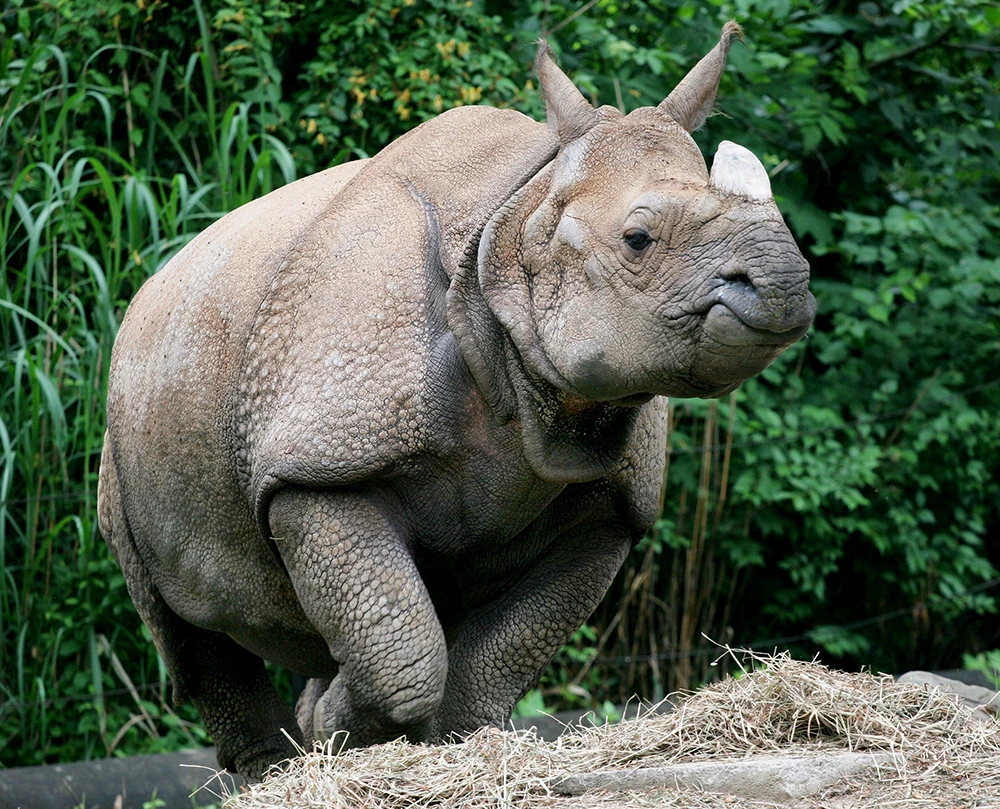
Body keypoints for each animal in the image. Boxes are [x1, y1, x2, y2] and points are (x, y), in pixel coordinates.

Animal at [97, 23, 814, 780]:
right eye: (638, 239)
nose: (785, 280)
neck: (514, 232)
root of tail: (153, 289)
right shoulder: (321, 461)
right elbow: (403, 656)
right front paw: (342, 734)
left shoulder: (609, 502)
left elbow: (496, 657)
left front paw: (445, 744)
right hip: (127, 424)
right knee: (185, 632)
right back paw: (275, 771)